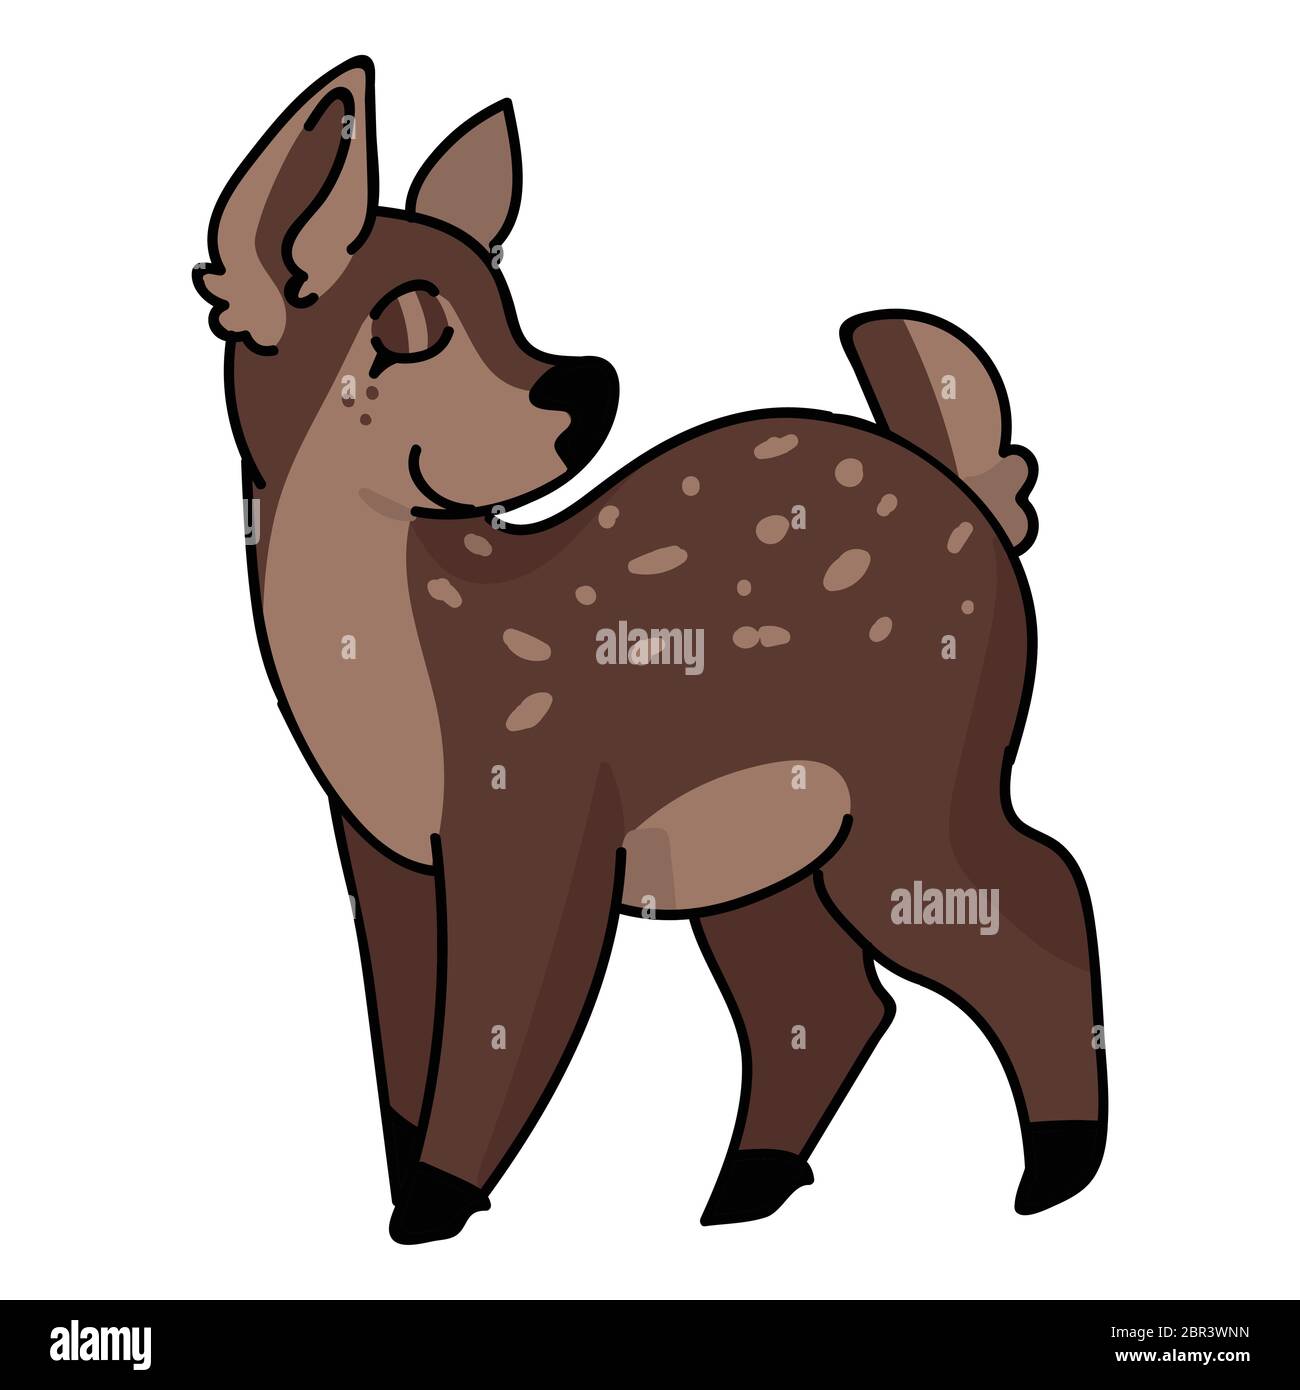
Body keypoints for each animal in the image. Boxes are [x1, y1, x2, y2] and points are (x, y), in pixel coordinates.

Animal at [195, 57, 1106, 1243]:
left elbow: (498, 1027)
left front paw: (440, 1204)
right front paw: (405, 1194)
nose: (585, 386)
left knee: (1039, 890)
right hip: (767, 838)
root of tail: (972, 491)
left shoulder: (535, 799)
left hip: (915, 777)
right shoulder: (378, 851)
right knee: (829, 1000)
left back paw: (1058, 1168)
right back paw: (744, 1188)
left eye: (507, 304)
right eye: (406, 323)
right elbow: (403, 1043)